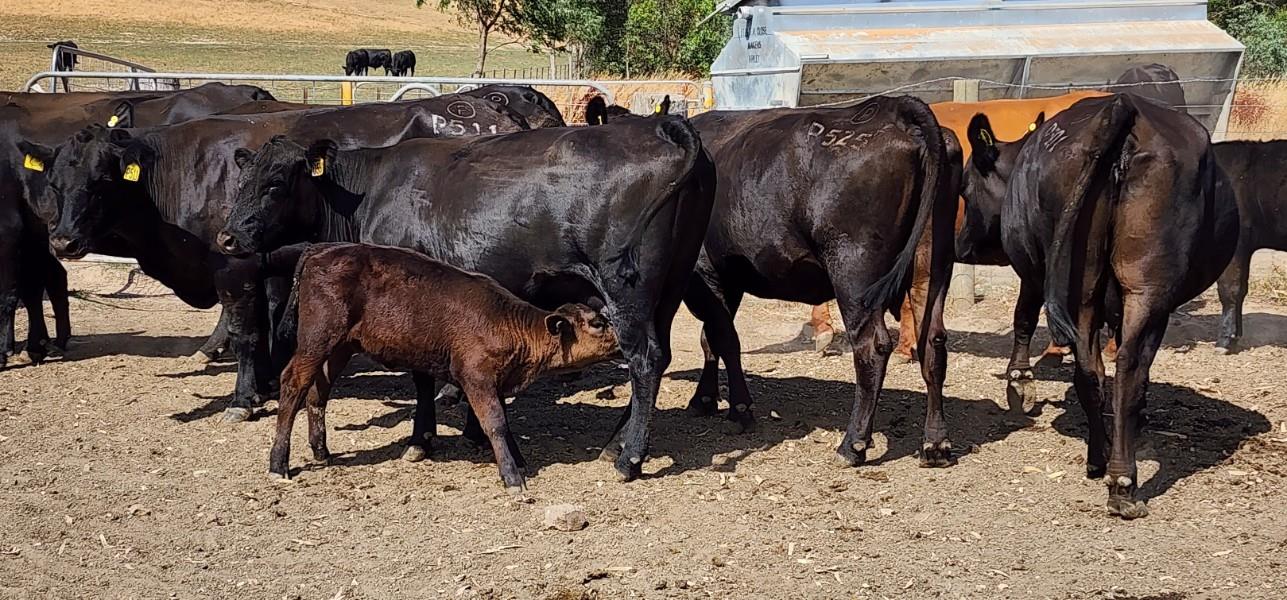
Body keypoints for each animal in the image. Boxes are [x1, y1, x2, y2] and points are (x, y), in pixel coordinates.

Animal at [27, 96, 528, 419]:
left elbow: (246, 332)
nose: (62, 242)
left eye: (102, 180)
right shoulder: (268, 265)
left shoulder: (235, 265)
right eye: (54, 182)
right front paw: (265, 382)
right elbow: (267, 322)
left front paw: (242, 399)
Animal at [269, 243, 619, 490]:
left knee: (319, 390)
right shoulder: (475, 377)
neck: (509, 325)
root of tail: (319, 251)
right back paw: (278, 463)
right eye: (598, 323)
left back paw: (321, 451)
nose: (622, 339)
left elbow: (504, 422)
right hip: (317, 338)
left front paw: (518, 461)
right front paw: (511, 476)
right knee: (293, 382)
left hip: (341, 345)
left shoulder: (497, 380)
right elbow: (495, 423)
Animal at [682, 96, 959, 467]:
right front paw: (706, 399)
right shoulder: (730, 279)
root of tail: (894, 108)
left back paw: (853, 444)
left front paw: (737, 409)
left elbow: (722, 339)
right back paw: (935, 444)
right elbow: (711, 338)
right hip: (933, 263)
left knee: (871, 347)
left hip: (854, 266)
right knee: (933, 341)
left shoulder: (707, 271)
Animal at [955, 94, 1239, 518]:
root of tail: (1124, 106)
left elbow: (1024, 316)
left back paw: (1110, 467)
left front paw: (1019, 383)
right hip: (1135, 286)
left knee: (1098, 372)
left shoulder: (1037, 274)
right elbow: (1024, 318)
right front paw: (1019, 384)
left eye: (965, 189)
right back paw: (1115, 475)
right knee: (1123, 370)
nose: (960, 245)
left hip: (1095, 285)